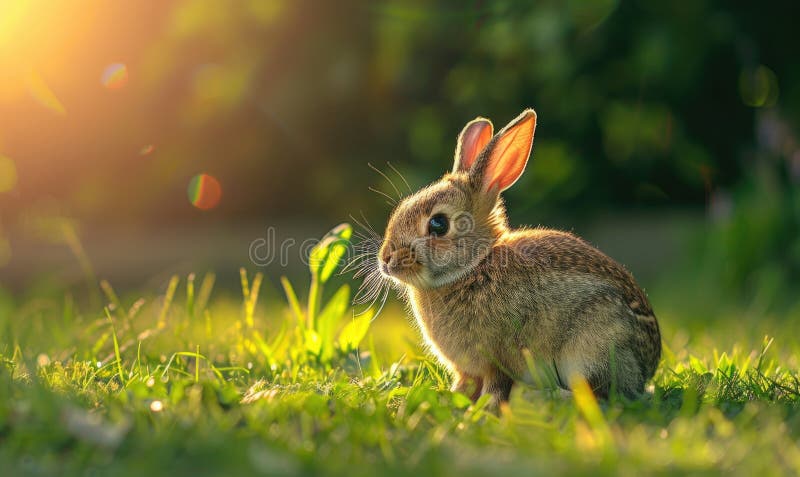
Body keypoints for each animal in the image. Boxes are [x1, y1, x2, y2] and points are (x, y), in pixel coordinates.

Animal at [375, 108, 661, 405]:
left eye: (438, 224)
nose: (386, 260)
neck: (473, 267)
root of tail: (645, 370)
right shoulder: (468, 369)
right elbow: (465, 384)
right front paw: (451, 399)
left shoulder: (499, 359)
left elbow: (495, 386)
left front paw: (485, 408)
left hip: (592, 346)